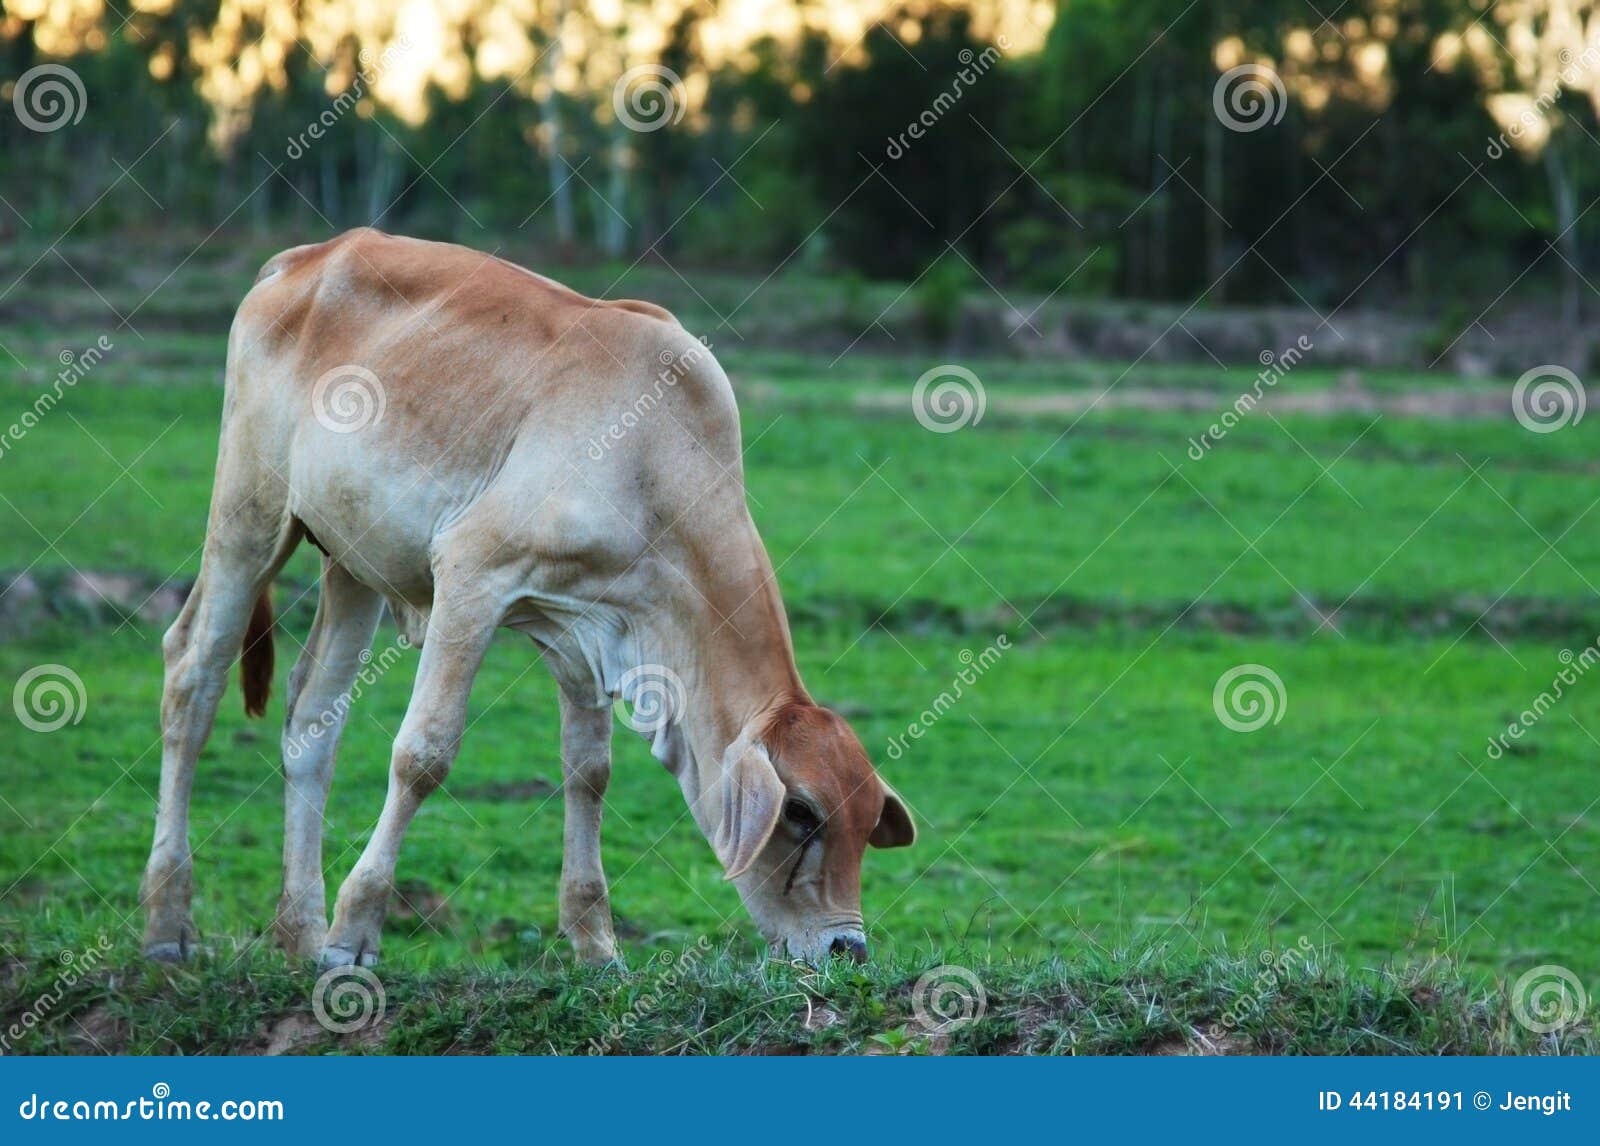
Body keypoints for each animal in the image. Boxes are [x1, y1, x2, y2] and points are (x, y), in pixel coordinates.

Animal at [139, 228, 915, 970]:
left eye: (866, 822)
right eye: (803, 813)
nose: (848, 949)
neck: (654, 462)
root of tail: (302, 258)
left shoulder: (590, 628)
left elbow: (589, 774)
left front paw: (596, 944)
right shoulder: (473, 575)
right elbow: (423, 754)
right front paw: (354, 933)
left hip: (350, 562)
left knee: (311, 719)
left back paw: (298, 932)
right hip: (252, 514)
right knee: (192, 675)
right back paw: (171, 925)